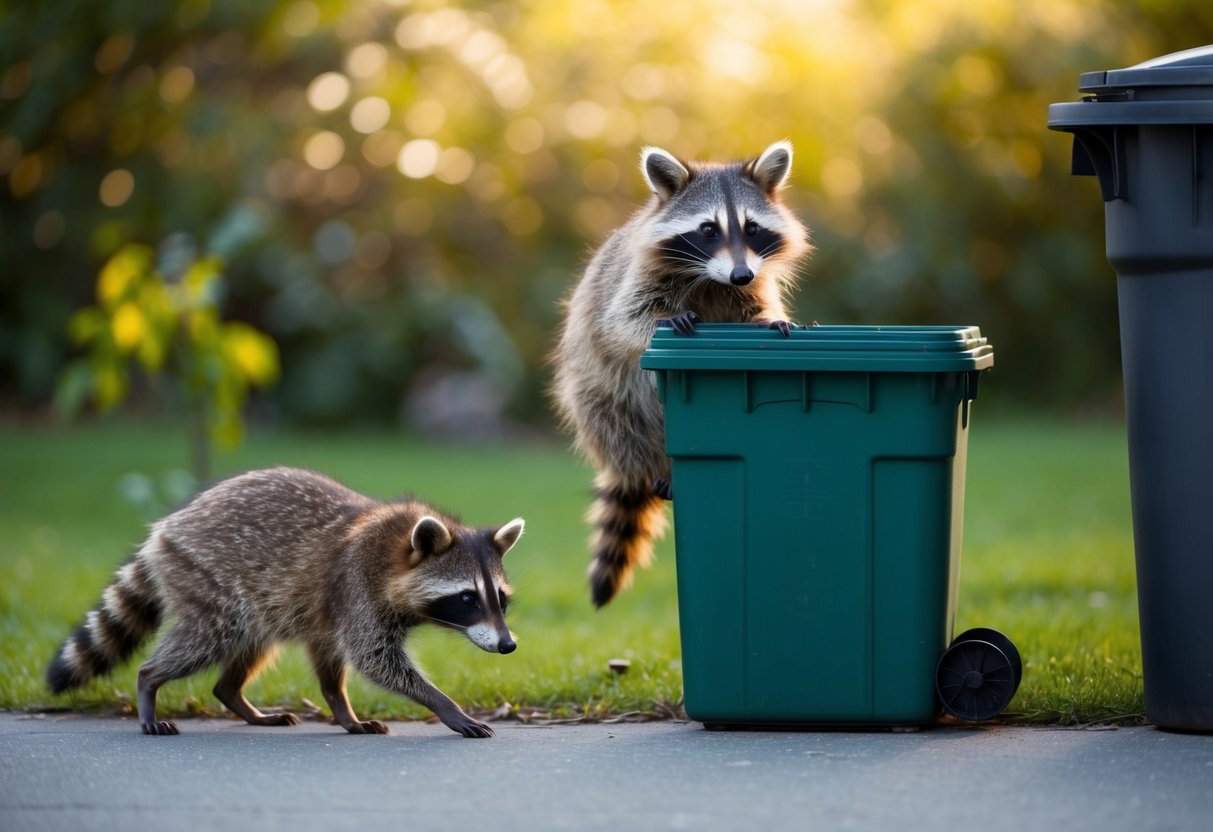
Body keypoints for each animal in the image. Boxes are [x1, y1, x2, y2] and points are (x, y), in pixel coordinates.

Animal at [47, 467, 525, 738]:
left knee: (249, 650)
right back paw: (149, 683)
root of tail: (167, 526)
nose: (508, 646)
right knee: (206, 639)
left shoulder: (331, 612)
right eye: (467, 598)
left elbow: (333, 663)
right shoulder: (356, 588)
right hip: (209, 579)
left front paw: (342, 709)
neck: (397, 549)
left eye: (500, 599)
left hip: (264, 605)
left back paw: (236, 697)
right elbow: (374, 658)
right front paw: (444, 705)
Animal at [553, 141, 811, 608]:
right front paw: (662, 322)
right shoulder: (638, 279)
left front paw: (772, 321)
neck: (712, 279)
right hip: (595, 394)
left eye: (752, 229)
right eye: (708, 229)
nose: (741, 273)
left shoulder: (751, 285)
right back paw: (655, 466)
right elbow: (622, 321)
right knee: (618, 418)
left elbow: (758, 309)